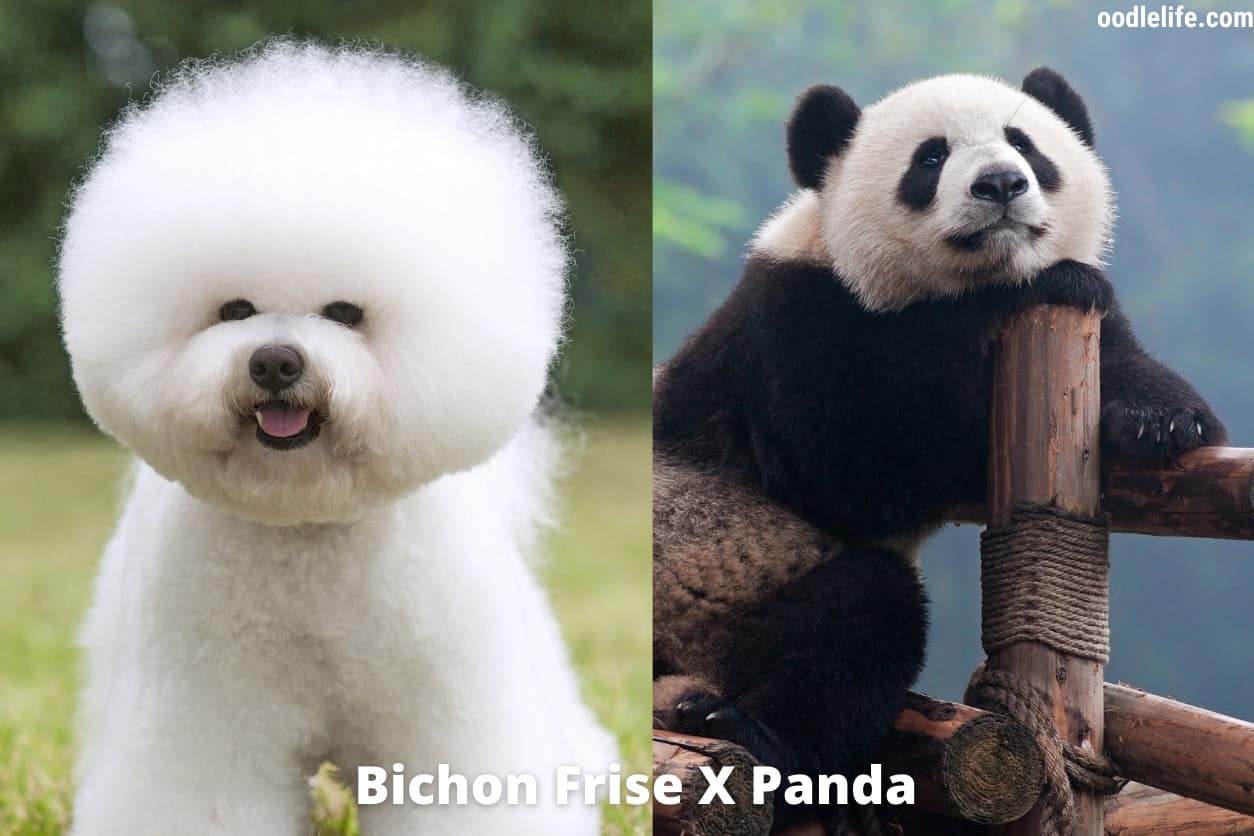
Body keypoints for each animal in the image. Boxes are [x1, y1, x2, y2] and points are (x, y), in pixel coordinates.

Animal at [652, 68, 1225, 830]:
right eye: (930, 159)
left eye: (1024, 142)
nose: (1001, 183)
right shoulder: (792, 323)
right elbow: (856, 466)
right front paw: (1037, 289)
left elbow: (1123, 359)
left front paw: (1162, 421)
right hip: (717, 599)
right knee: (862, 618)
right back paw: (749, 732)